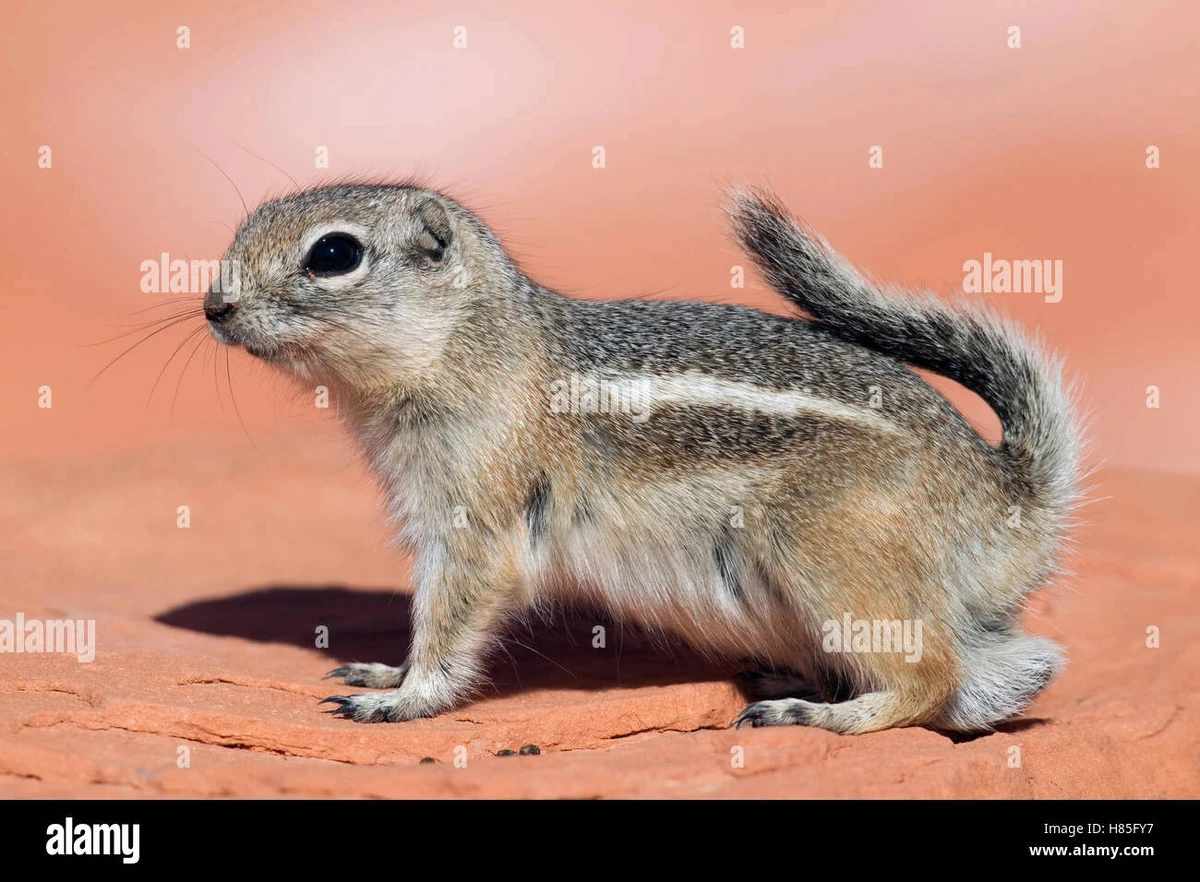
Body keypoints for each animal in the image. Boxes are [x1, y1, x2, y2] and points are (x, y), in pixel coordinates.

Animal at [204, 182, 1083, 734]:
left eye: (333, 254)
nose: (215, 306)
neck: (472, 343)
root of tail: (1008, 499)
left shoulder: (473, 520)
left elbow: (451, 617)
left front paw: (404, 699)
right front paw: (384, 673)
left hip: (829, 557)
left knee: (937, 679)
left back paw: (822, 715)